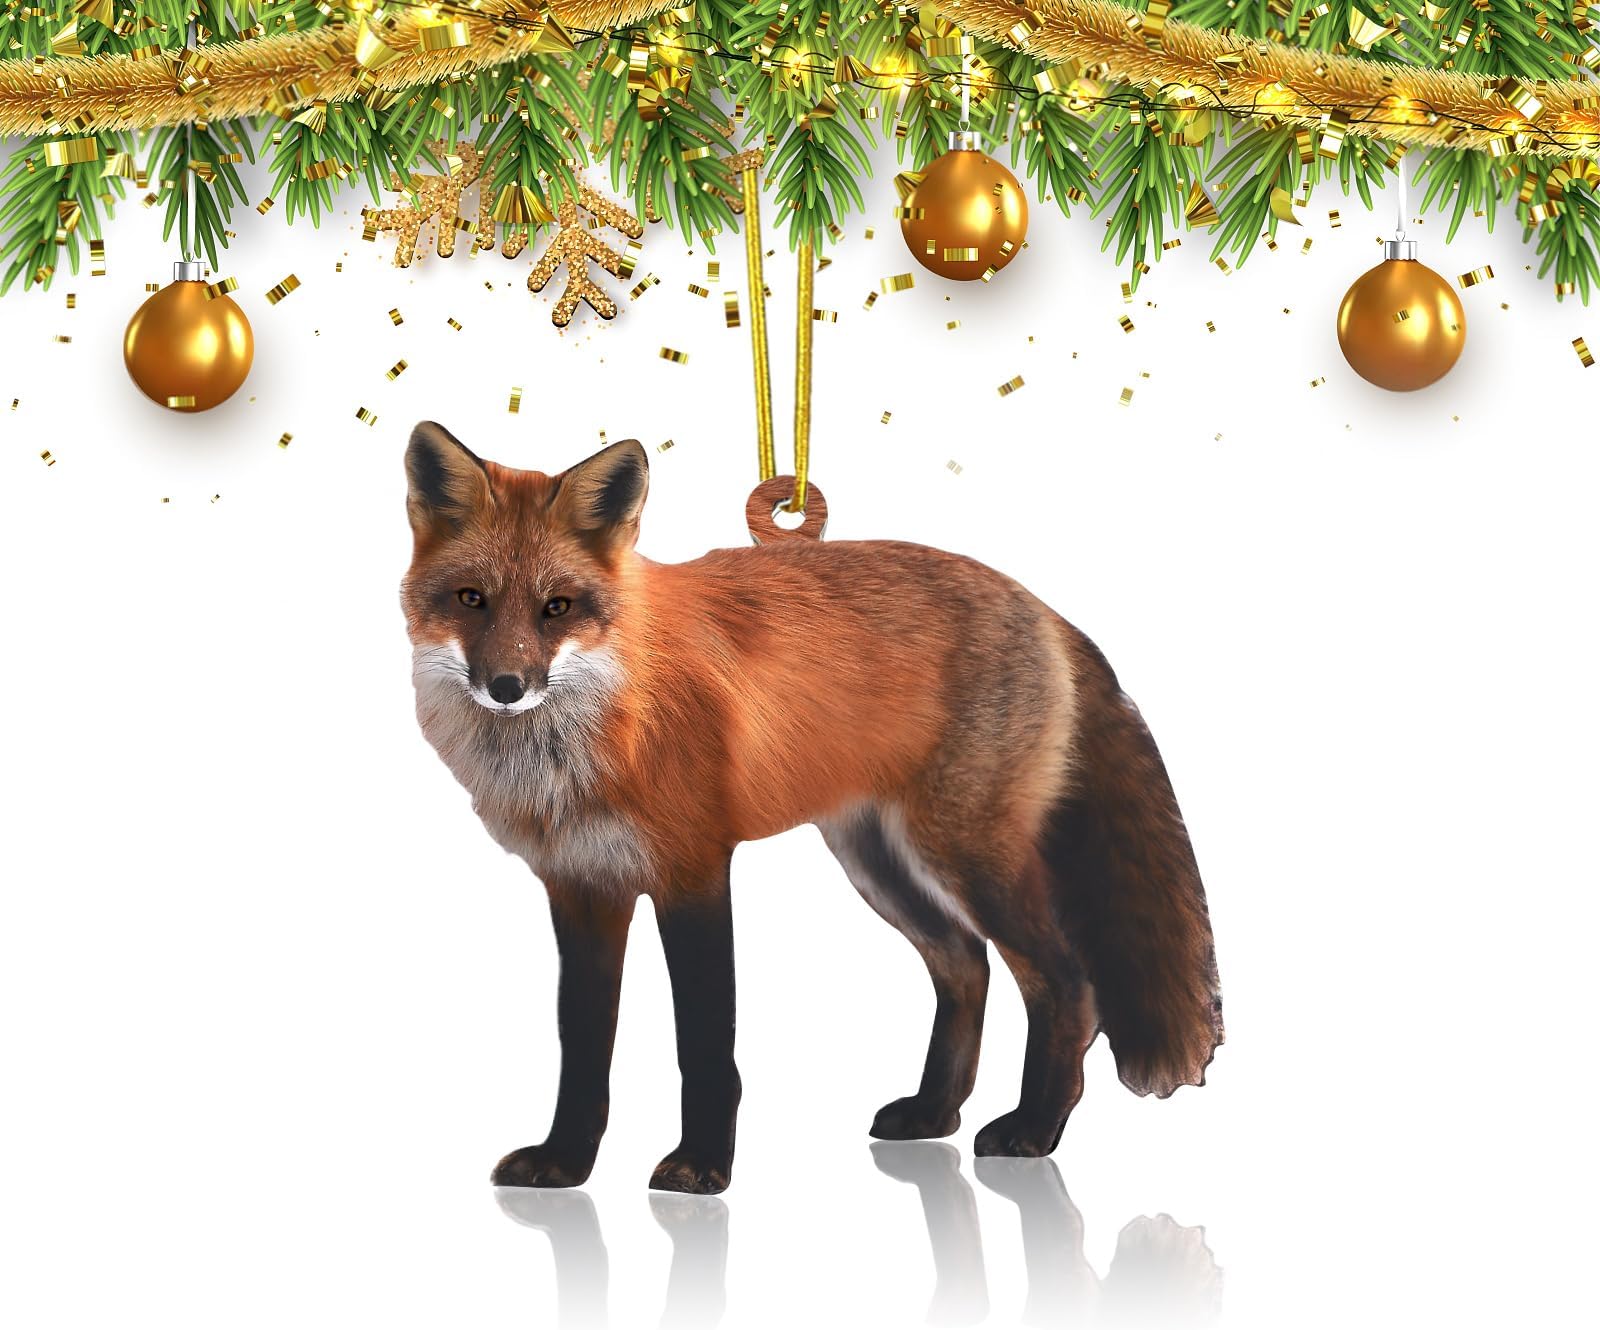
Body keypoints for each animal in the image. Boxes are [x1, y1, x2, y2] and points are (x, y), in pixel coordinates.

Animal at [401, 420, 1223, 1195]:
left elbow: (705, 1039)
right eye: (471, 599)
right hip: (879, 863)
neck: (596, 732)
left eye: (557, 607)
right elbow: (582, 1046)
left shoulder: (694, 872)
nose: (506, 687)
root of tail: (1042, 607)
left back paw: (1033, 1127)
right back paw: (935, 1112)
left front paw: (701, 1168)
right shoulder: (581, 888)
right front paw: (566, 1162)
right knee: (966, 967)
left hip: (964, 856)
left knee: (1066, 983)